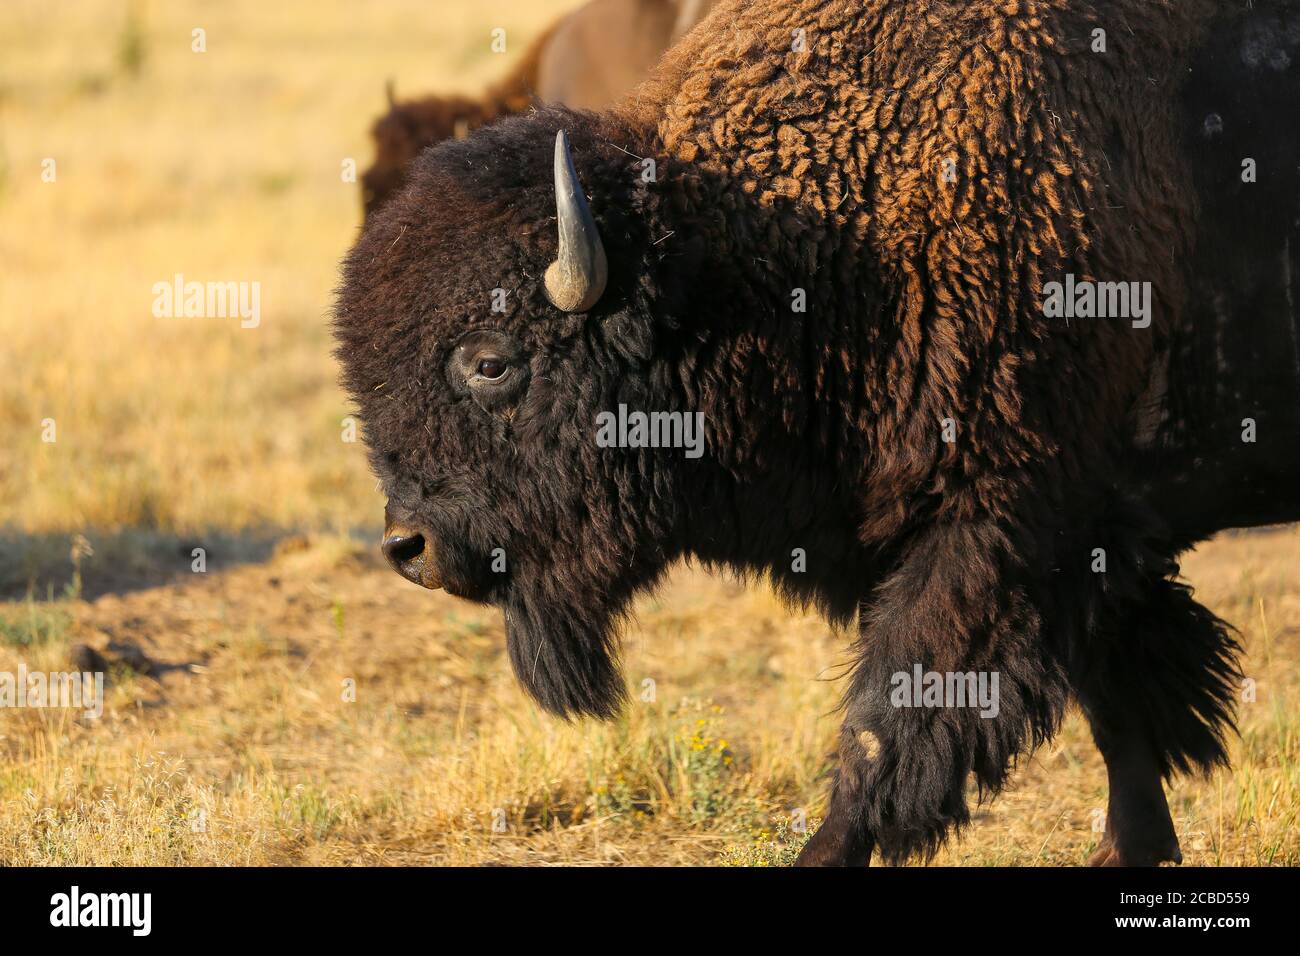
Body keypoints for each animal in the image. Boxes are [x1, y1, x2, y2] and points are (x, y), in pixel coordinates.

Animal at [335, 0, 1300, 865]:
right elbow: (1118, 699)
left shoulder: (1003, 531)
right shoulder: (1082, 539)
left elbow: (888, 723)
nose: (409, 546)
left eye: (490, 362)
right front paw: (1133, 848)